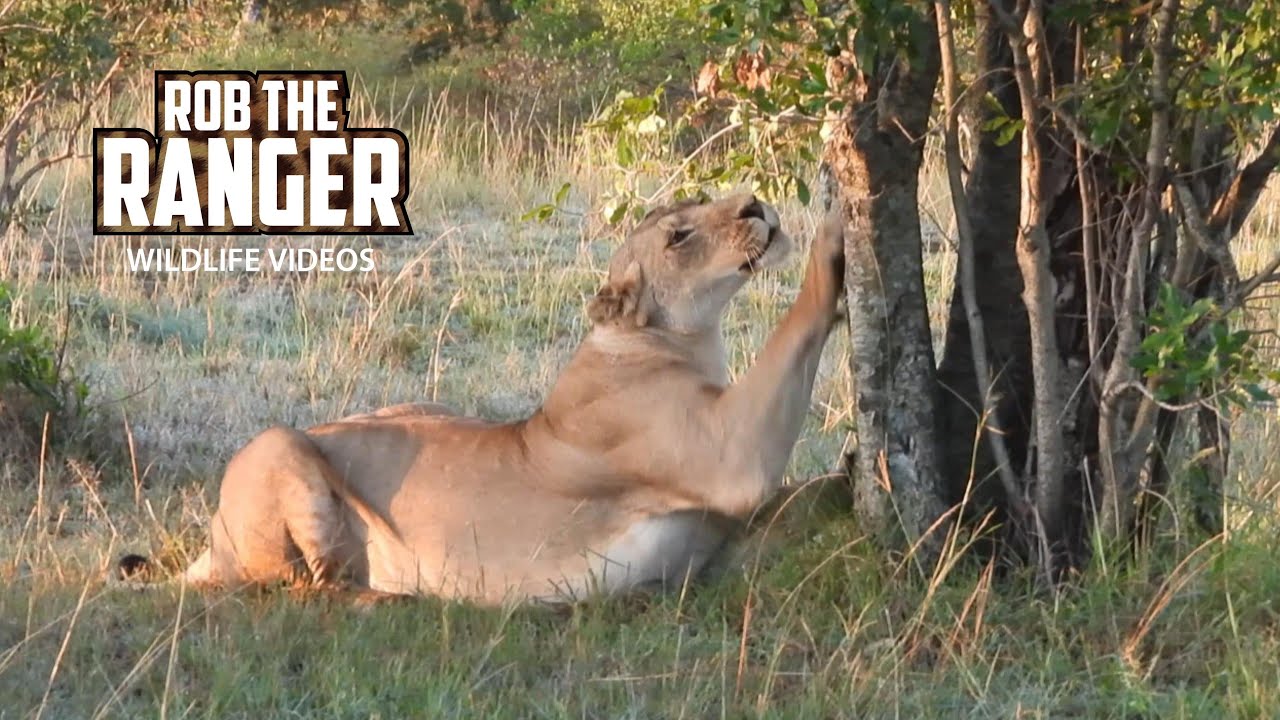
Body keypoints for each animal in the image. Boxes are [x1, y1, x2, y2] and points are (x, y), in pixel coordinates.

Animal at [147, 193, 845, 605]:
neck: (683, 340)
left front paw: (854, 474)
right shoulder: (730, 458)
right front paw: (837, 220)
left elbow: (808, 496)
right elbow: (796, 325)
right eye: (679, 236)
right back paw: (395, 595)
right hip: (279, 443)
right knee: (303, 584)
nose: (755, 203)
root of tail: (206, 547)